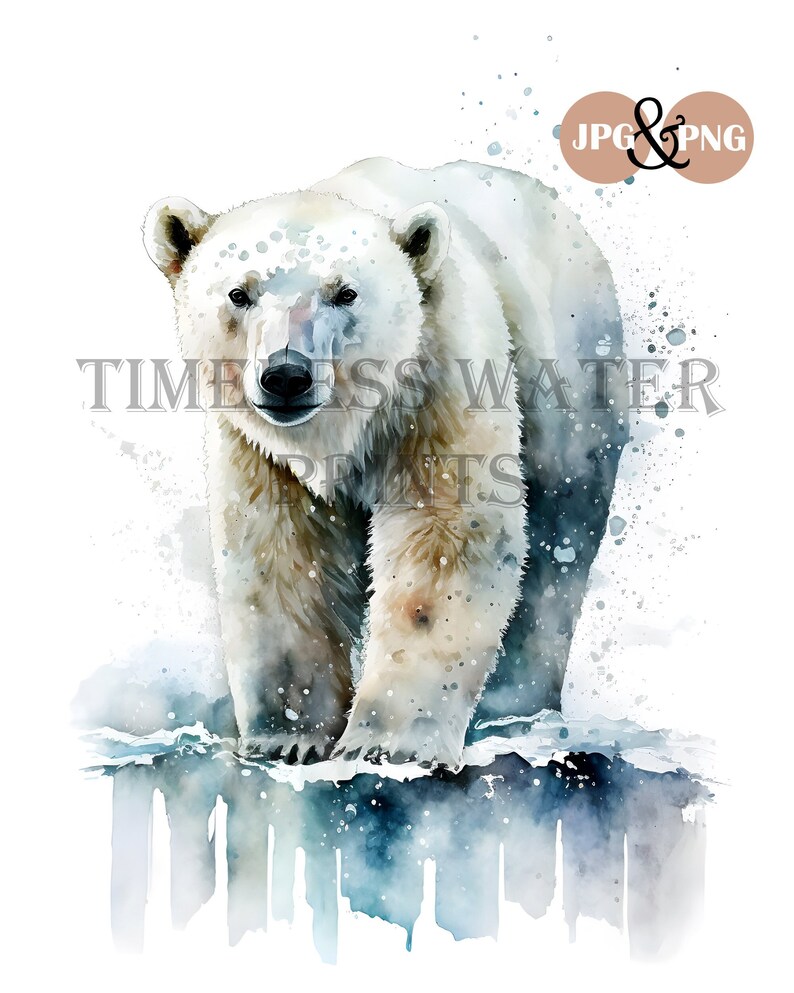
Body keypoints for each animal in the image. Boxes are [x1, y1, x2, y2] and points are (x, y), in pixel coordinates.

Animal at [143, 157, 626, 769]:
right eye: (238, 293)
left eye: (346, 293)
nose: (286, 375)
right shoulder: (258, 446)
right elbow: (281, 556)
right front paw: (288, 736)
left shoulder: (439, 377)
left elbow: (445, 537)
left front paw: (388, 743)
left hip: (572, 386)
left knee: (560, 541)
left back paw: (519, 702)